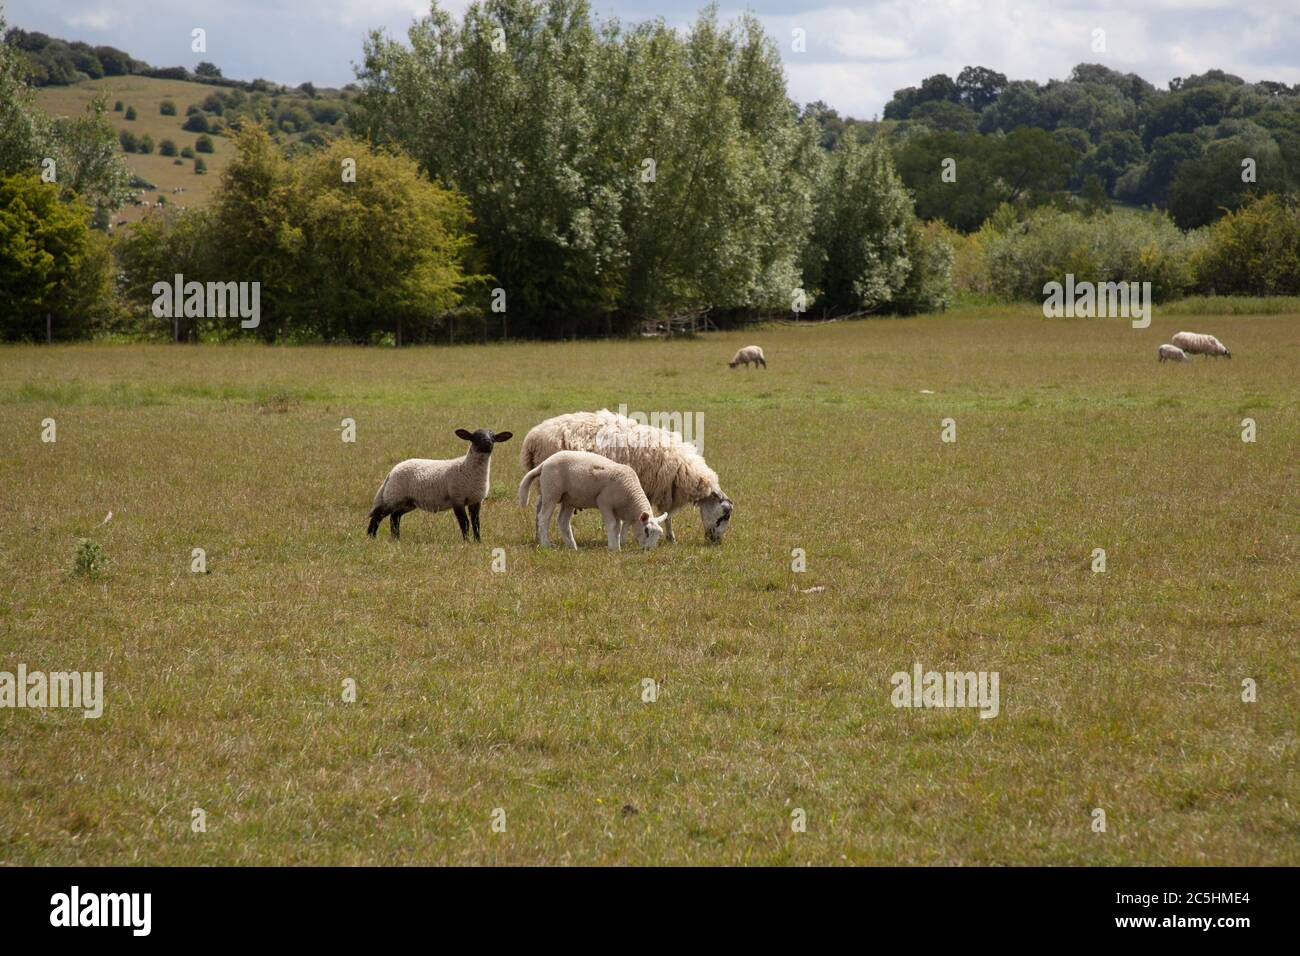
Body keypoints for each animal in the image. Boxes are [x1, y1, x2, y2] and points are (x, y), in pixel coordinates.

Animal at [366, 428, 512, 541]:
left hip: (408, 501)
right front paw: (466, 541)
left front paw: (478, 541)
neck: (466, 468)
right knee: (378, 515)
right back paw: (371, 537)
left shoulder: (475, 500)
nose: (488, 443)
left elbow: (476, 523)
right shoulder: (457, 499)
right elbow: (464, 523)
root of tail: (392, 471)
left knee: (394, 517)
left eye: (493, 436)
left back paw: (396, 538)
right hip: (395, 496)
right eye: (475, 436)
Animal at [518, 450, 667, 550]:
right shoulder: (604, 502)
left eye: (659, 534)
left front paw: (617, 545)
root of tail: (544, 463)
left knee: (563, 522)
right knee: (543, 518)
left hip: (569, 499)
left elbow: (618, 528)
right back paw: (546, 545)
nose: (649, 550)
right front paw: (613, 548)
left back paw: (572, 546)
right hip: (551, 493)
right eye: (647, 530)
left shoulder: (617, 510)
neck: (630, 495)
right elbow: (612, 525)